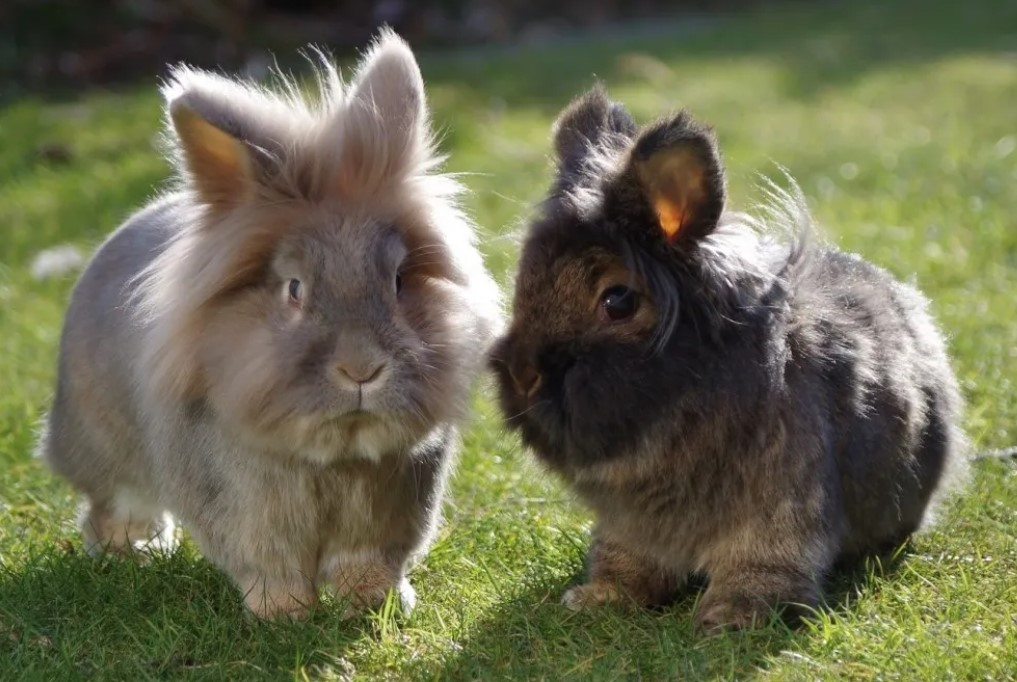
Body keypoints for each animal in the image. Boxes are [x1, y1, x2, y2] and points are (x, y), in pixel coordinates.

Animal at [36, 30, 502, 620]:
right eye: (294, 289)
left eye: (399, 280)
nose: (361, 371)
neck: (334, 455)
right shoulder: (250, 519)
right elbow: (271, 570)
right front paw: (283, 618)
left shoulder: (389, 516)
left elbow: (369, 563)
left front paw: (378, 609)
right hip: (104, 453)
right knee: (109, 509)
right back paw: (133, 556)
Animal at [489, 87, 968, 632]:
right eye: (524, 283)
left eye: (618, 300)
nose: (523, 373)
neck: (683, 405)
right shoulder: (629, 526)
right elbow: (627, 560)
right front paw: (600, 598)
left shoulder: (778, 511)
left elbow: (759, 564)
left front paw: (733, 620)